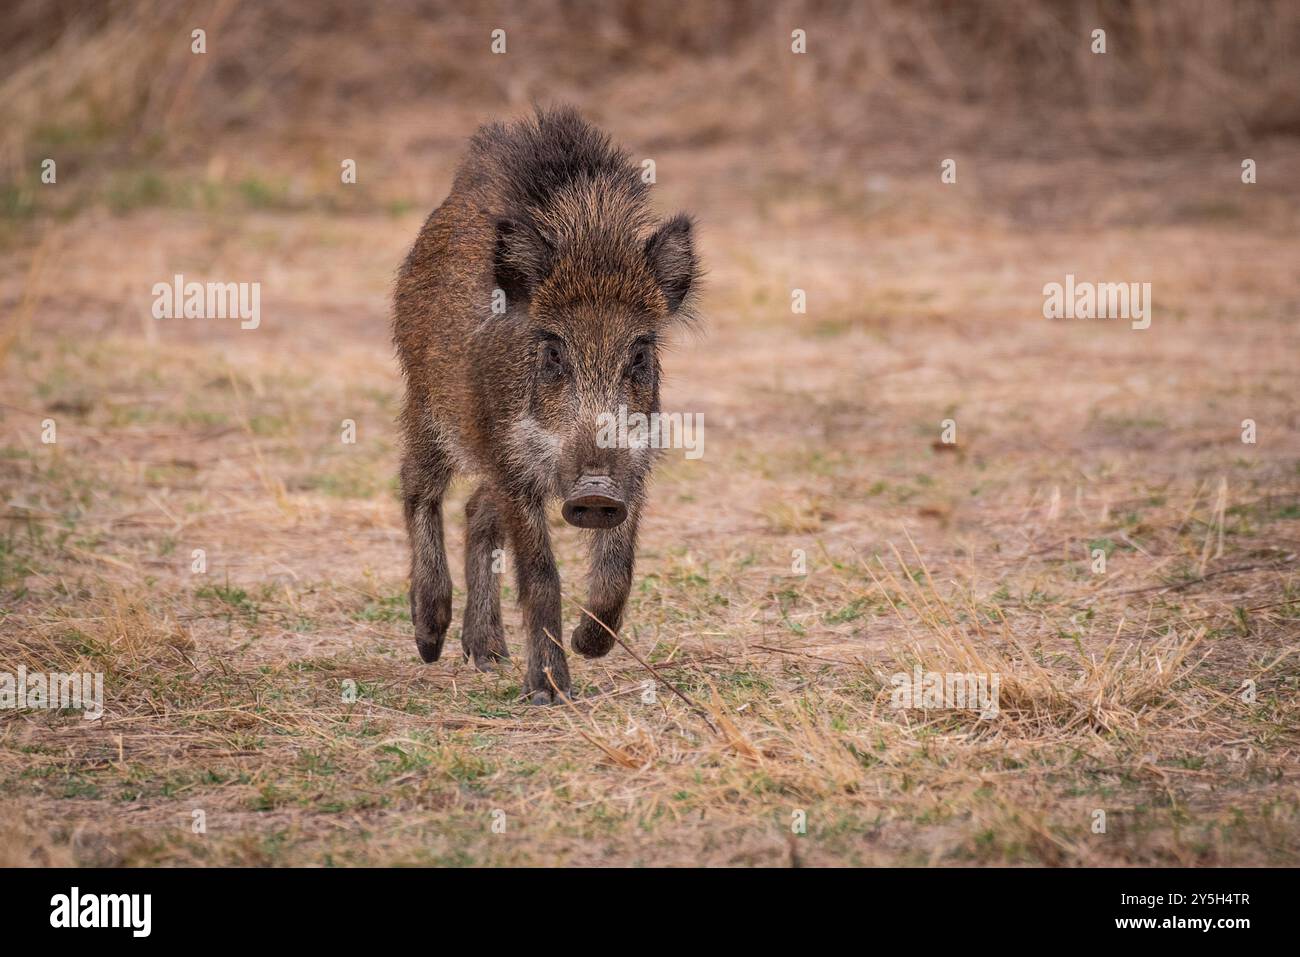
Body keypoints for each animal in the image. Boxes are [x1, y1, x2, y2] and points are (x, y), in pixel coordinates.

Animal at [391, 106, 701, 704]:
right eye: (553, 349)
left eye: (641, 351)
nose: (595, 493)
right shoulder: (512, 461)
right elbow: (541, 575)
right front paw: (550, 691)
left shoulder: (633, 461)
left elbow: (619, 566)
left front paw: (590, 646)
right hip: (425, 401)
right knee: (418, 487)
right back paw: (431, 641)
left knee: (476, 510)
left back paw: (487, 655)